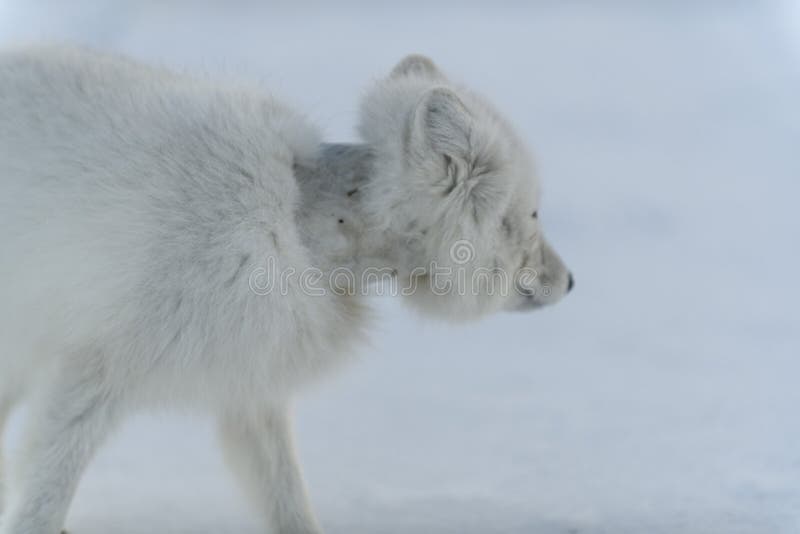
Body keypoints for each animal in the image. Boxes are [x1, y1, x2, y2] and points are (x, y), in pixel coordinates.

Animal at [0, 46, 573, 534]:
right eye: (533, 214)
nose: (572, 282)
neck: (301, 222)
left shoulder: (252, 387)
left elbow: (289, 503)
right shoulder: (92, 378)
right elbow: (42, 502)